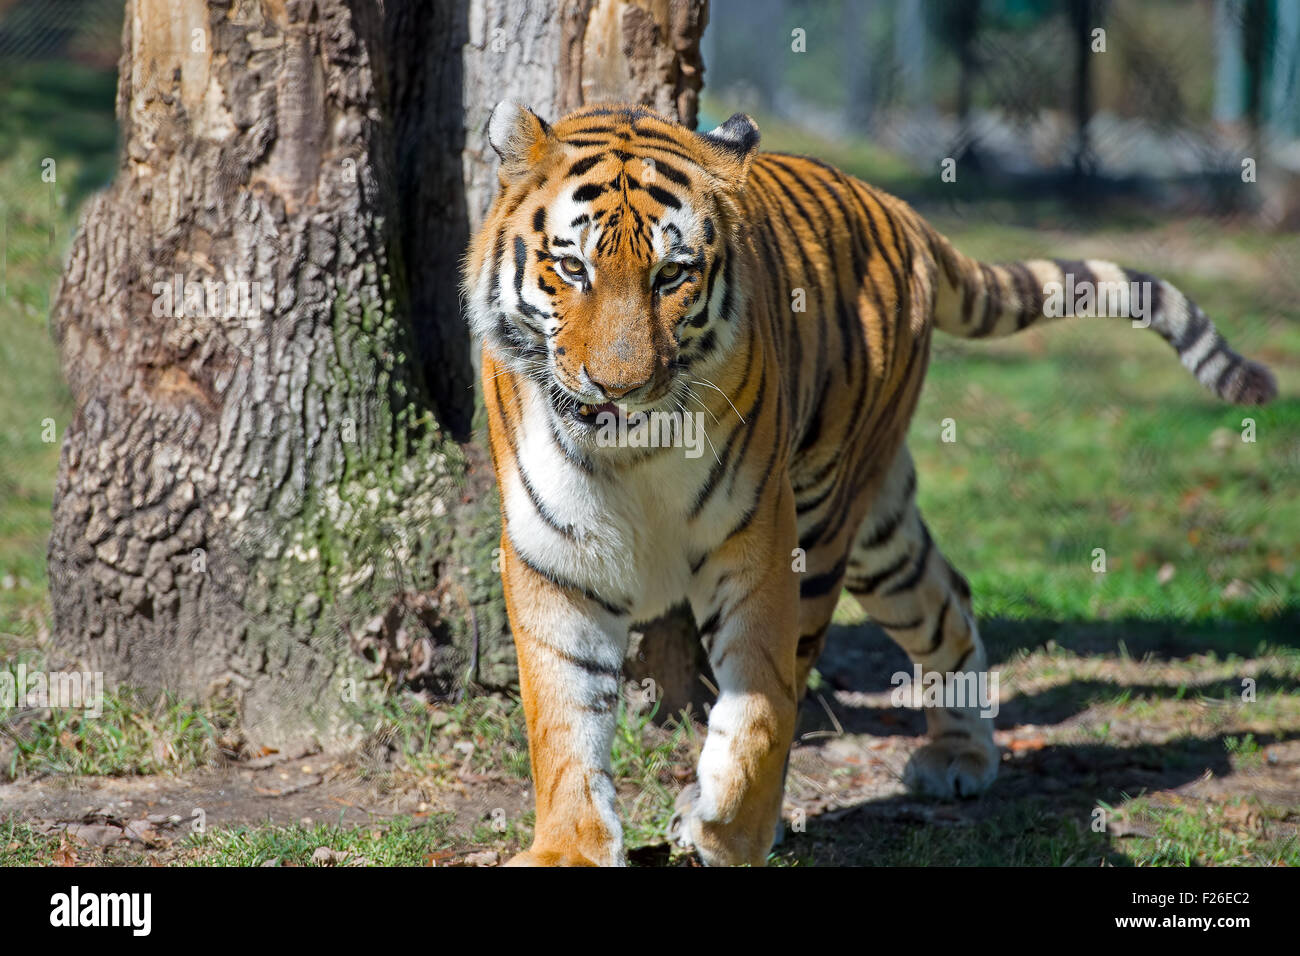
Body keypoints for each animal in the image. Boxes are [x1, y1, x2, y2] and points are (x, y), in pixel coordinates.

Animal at [462, 101, 1277, 867]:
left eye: (673, 274)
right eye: (572, 269)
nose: (621, 387)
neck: (632, 453)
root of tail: (900, 211)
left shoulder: (760, 542)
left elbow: (760, 706)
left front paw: (724, 825)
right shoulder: (553, 558)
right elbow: (562, 720)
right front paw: (570, 848)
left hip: (830, 515)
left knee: (849, 644)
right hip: (884, 536)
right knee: (949, 596)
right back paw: (960, 753)